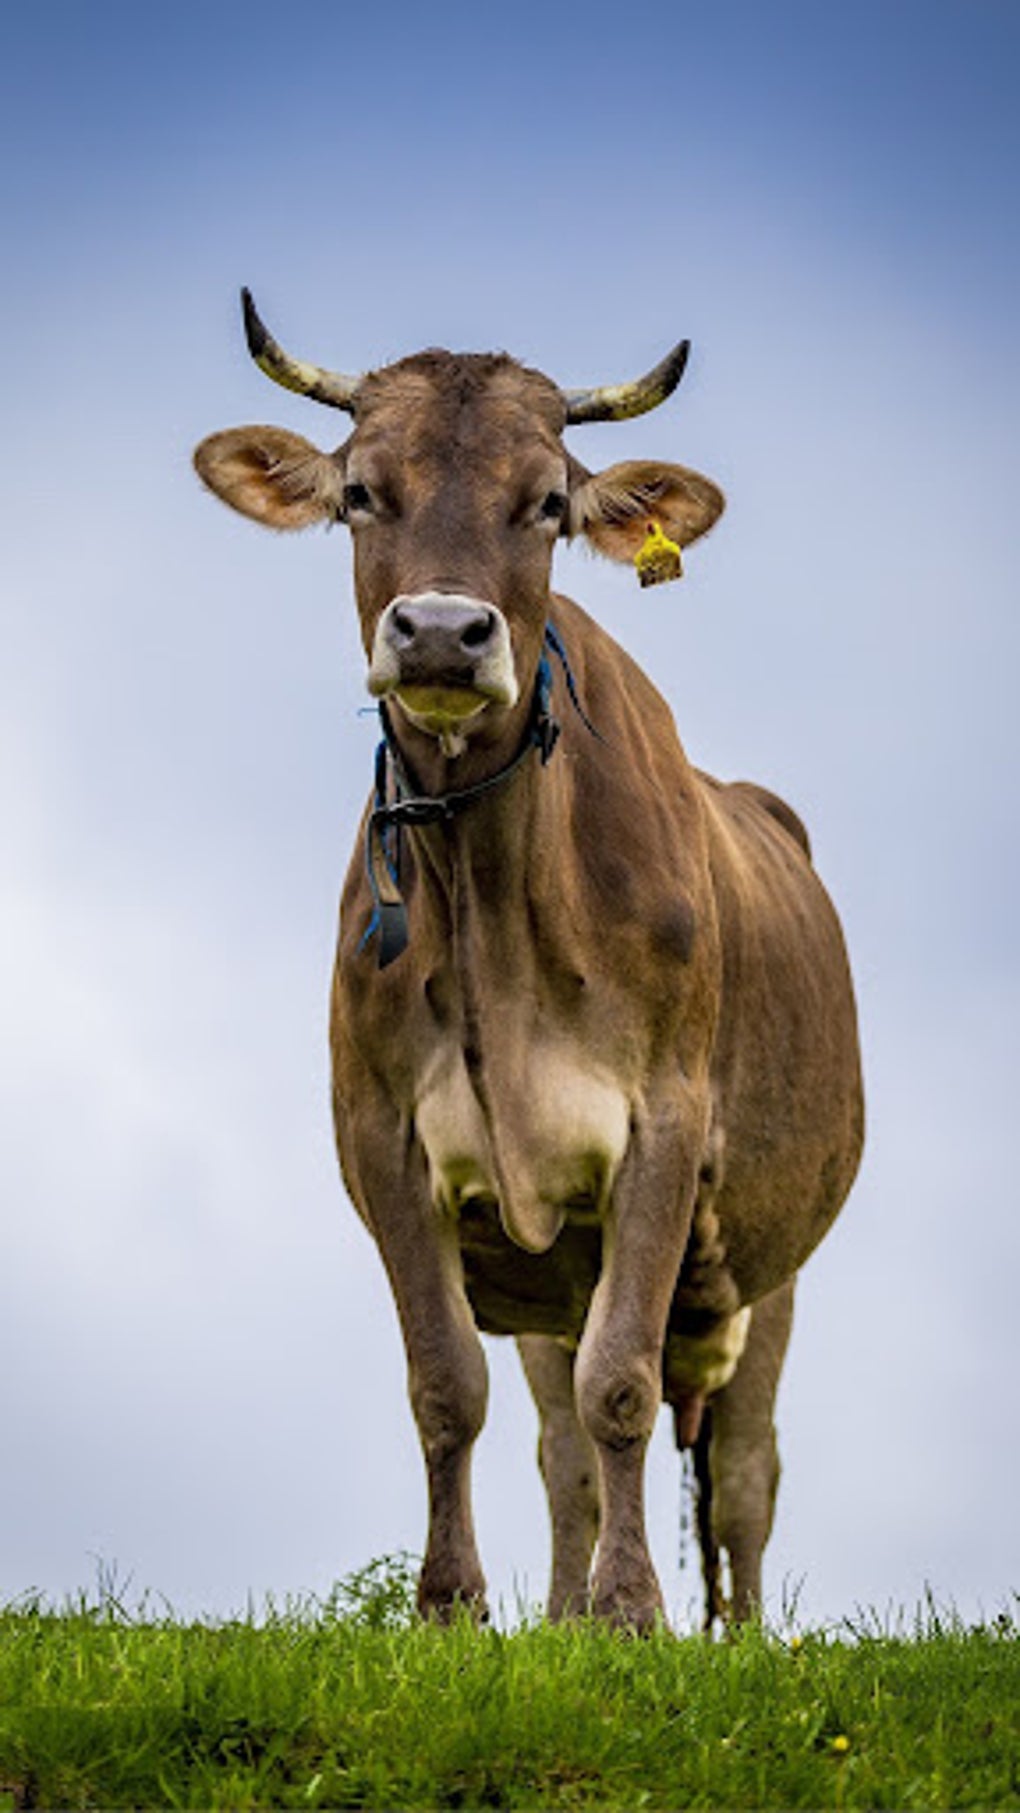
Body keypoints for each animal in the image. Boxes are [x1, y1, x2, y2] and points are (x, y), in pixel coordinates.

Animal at [194, 292, 864, 1631]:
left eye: (548, 500)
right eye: (362, 491)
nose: (444, 634)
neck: (495, 902)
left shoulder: (665, 1122)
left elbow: (623, 1384)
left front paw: (633, 1614)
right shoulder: (383, 1135)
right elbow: (450, 1386)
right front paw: (457, 1606)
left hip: (770, 1266)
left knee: (744, 1472)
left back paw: (738, 1638)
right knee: (567, 1456)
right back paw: (560, 1614)